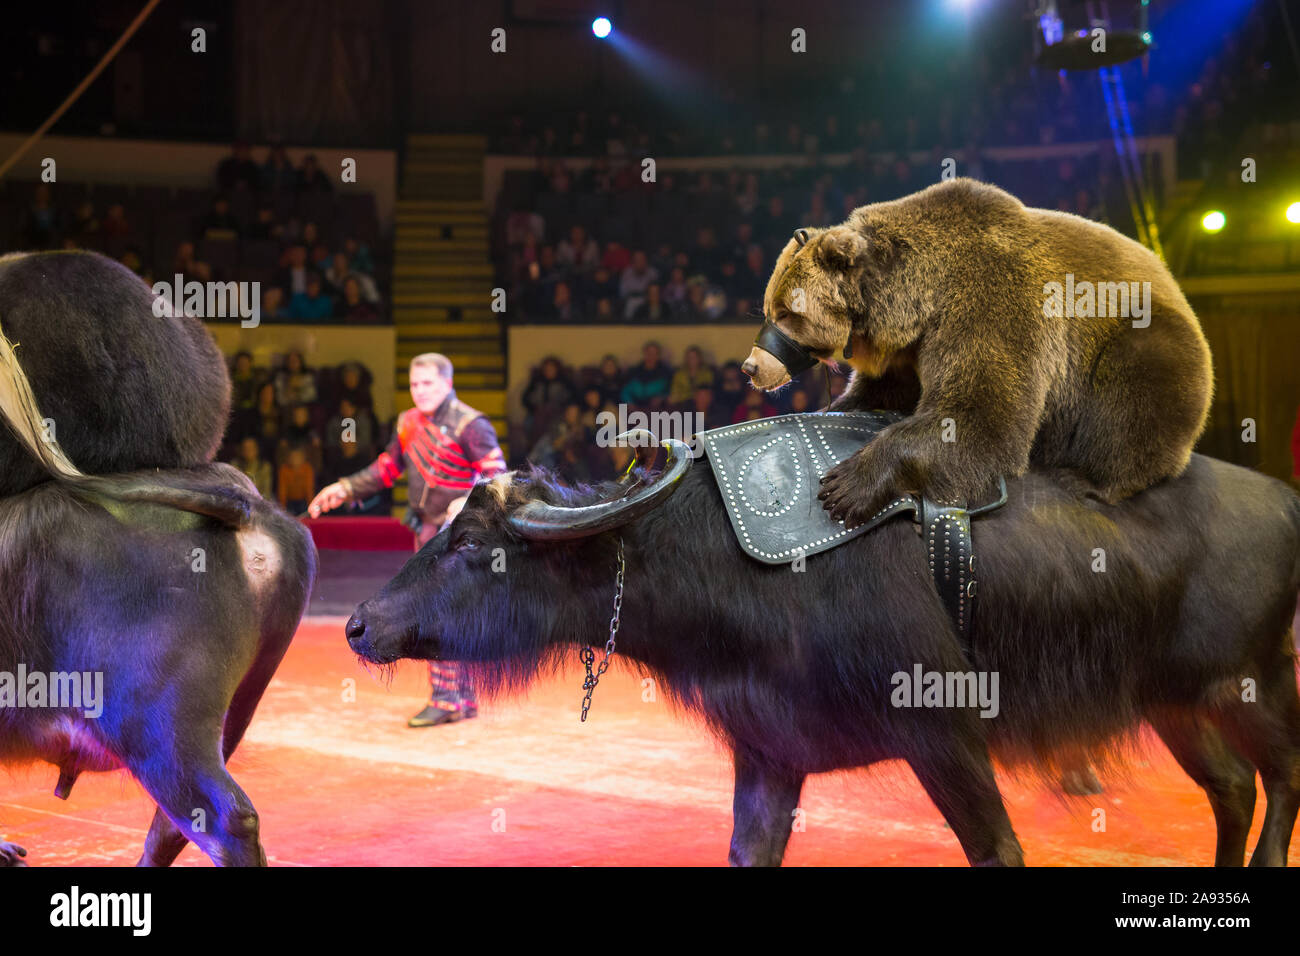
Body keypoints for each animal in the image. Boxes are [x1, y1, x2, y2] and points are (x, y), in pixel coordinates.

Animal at [346, 435, 1300, 866]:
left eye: (475, 545)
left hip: (1251, 683)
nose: (358, 624)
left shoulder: (947, 739)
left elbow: (998, 850)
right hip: (1176, 702)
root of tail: (1286, 499)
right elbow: (750, 851)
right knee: (1231, 786)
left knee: (1281, 775)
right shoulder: (769, 755)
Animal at [743, 177, 1213, 527]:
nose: (751, 366)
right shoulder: (910, 348)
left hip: (1142, 335)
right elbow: (883, 392)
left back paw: (1090, 480)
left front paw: (847, 484)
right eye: (768, 307)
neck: (918, 299)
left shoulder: (992, 302)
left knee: (1137, 394)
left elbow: (981, 416)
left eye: (786, 312)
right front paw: (836, 408)